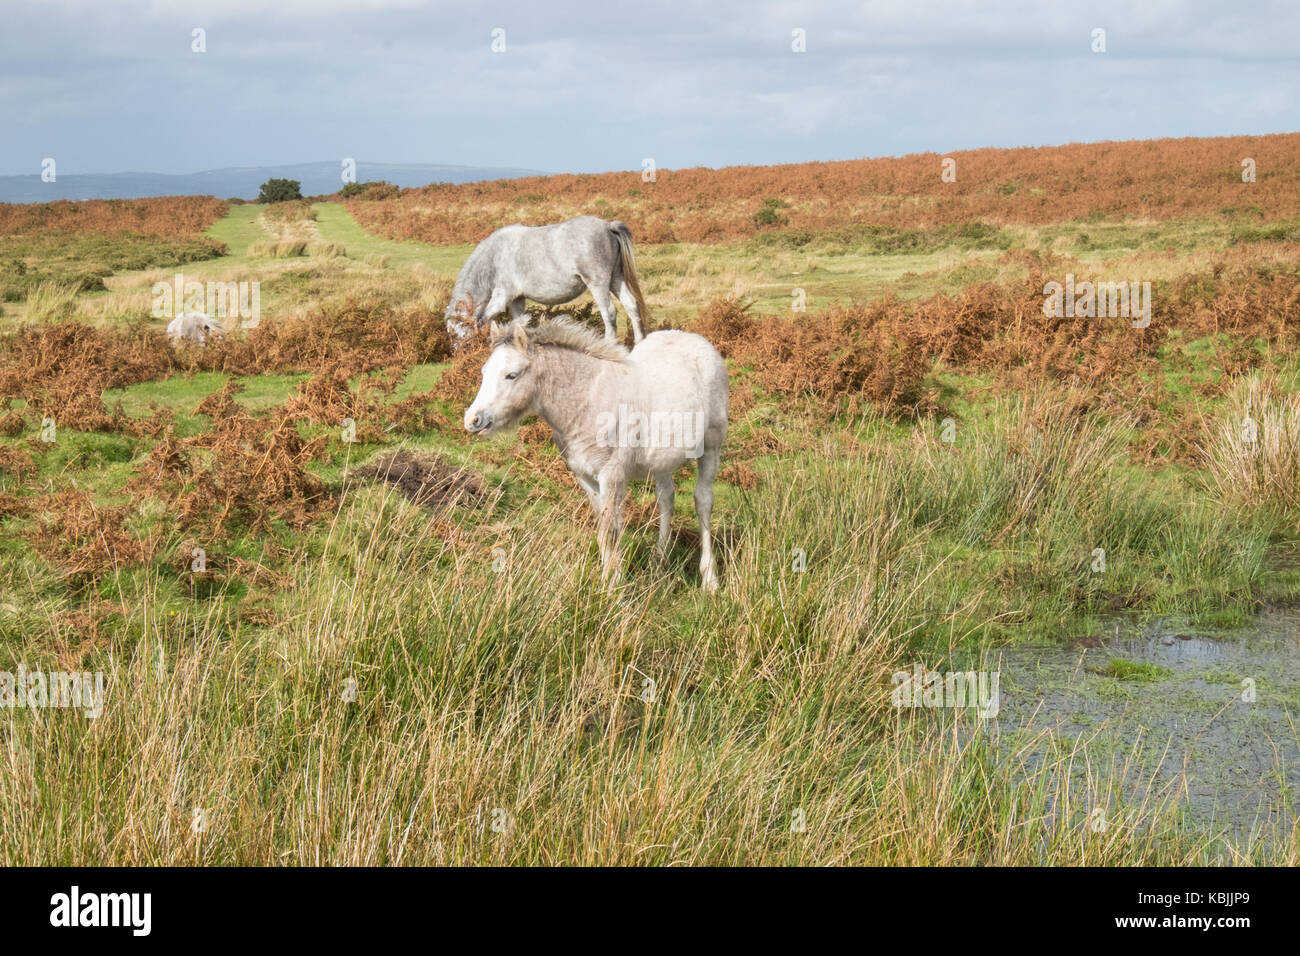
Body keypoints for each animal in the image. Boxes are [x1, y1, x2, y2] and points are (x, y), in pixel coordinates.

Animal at [445, 216, 650, 347]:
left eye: (454, 332)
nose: (458, 355)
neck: (495, 256)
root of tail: (608, 226)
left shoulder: (501, 299)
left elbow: (483, 320)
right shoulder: (516, 300)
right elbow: (520, 323)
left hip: (598, 284)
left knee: (609, 313)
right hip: (616, 279)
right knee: (631, 305)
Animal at [464, 316, 728, 592]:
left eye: (511, 375)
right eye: (484, 372)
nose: (472, 420)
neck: (586, 402)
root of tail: (698, 341)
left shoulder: (612, 475)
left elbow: (611, 530)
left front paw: (612, 589)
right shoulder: (585, 477)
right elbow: (602, 530)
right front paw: (605, 582)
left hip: (712, 445)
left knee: (703, 501)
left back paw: (710, 579)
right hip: (661, 460)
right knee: (666, 497)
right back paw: (659, 563)